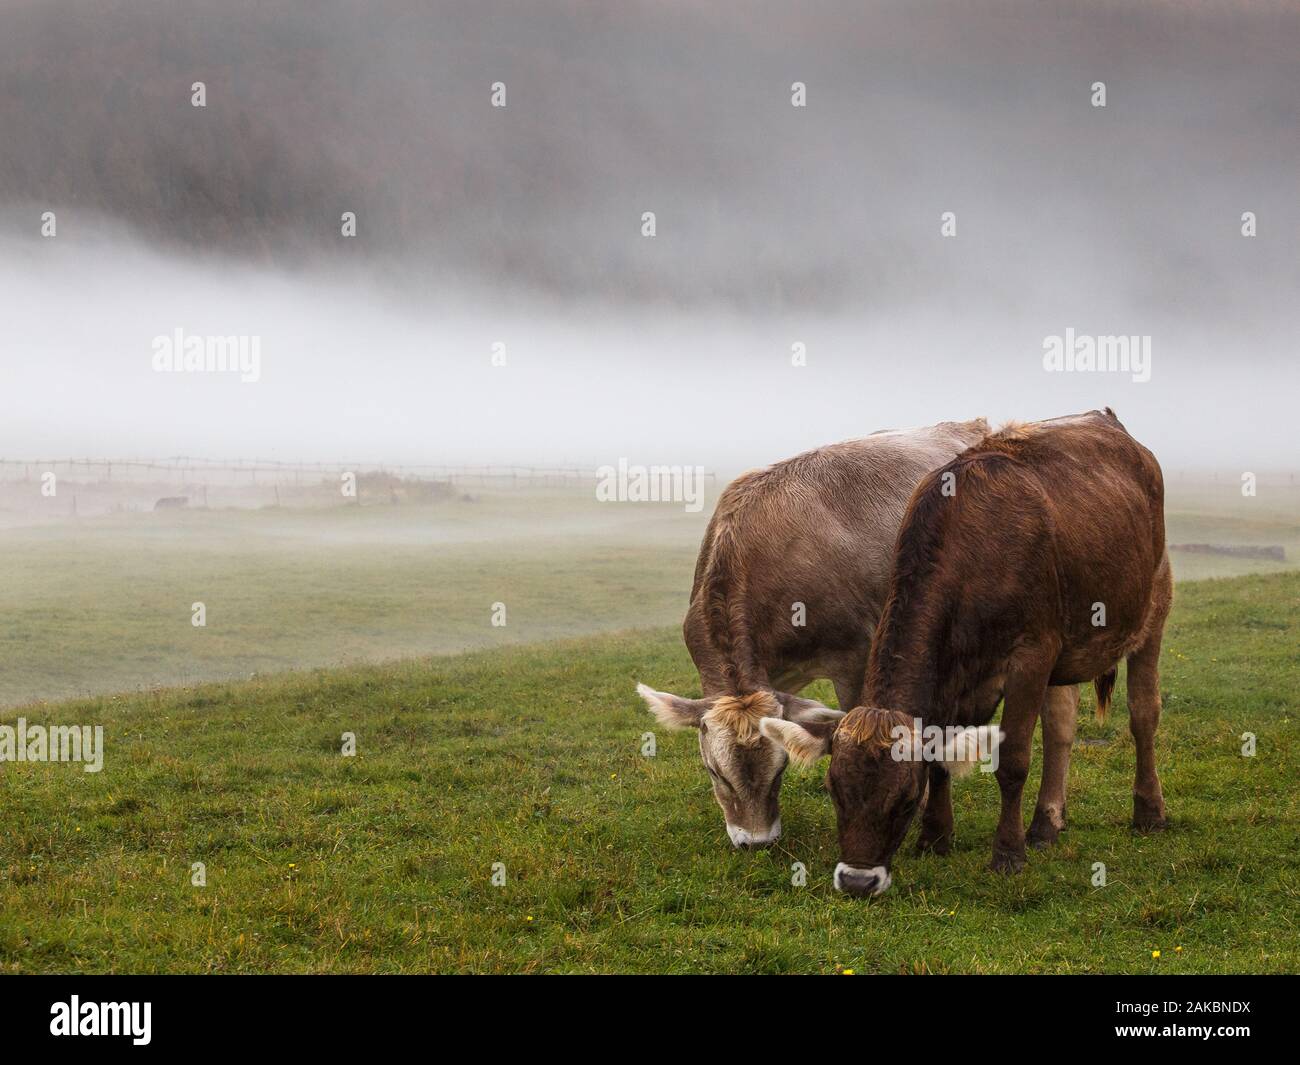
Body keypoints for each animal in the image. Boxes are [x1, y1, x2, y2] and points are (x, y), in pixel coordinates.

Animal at [762, 409, 1172, 896]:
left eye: (905, 799)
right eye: (833, 790)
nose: (858, 881)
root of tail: (1107, 420)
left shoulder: (1031, 657)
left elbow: (1013, 761)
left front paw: (1007, 853)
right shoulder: (951, 675)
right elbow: (940, 752)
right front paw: (936, 837)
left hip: (1153, 606)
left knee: (1143, 713)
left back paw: (1149, 811)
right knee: (1061, 727)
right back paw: (1046, 825)